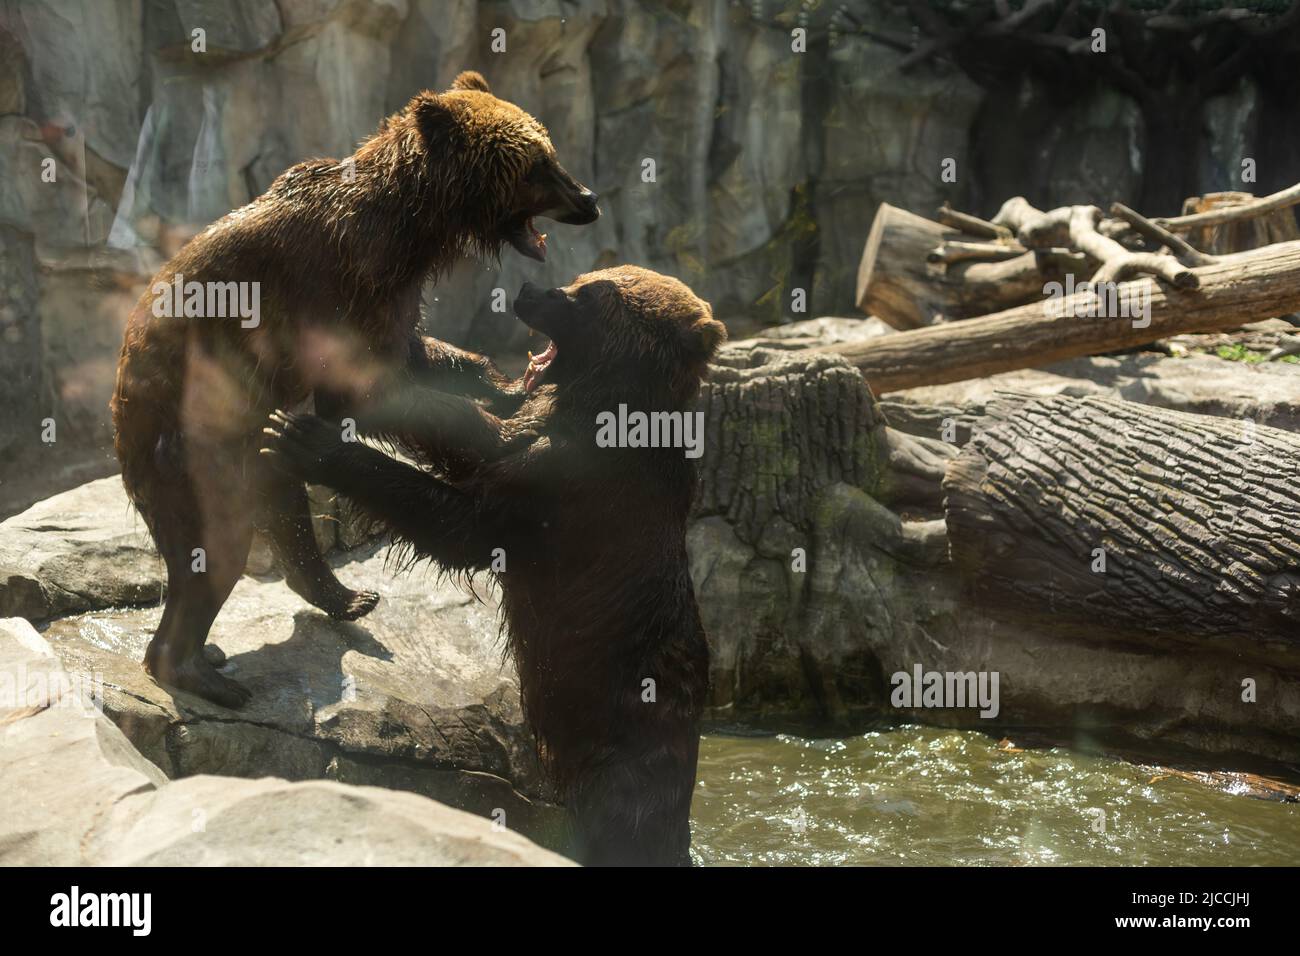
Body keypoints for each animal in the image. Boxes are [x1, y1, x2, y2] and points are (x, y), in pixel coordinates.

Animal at [110, 71, 599, 709]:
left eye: (550, 151)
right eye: (538, 164)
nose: (589, 198)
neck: (415, 226)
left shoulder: (390, 295)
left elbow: (416, 351)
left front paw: (511, 385)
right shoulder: (338, 282)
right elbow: (364, 393)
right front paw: (507, 424)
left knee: (279, 503)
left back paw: (344, 597)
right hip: (187, 439)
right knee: (218, 545)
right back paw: (200, 671)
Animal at [261, 265, 727, 866]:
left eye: (591, 295)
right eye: (586, 276)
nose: (531, 290)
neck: (607, 403)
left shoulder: (566, 486)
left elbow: (467, 526)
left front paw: (309, 438)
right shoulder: (535, 431)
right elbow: (480, 431)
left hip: (626, 743)